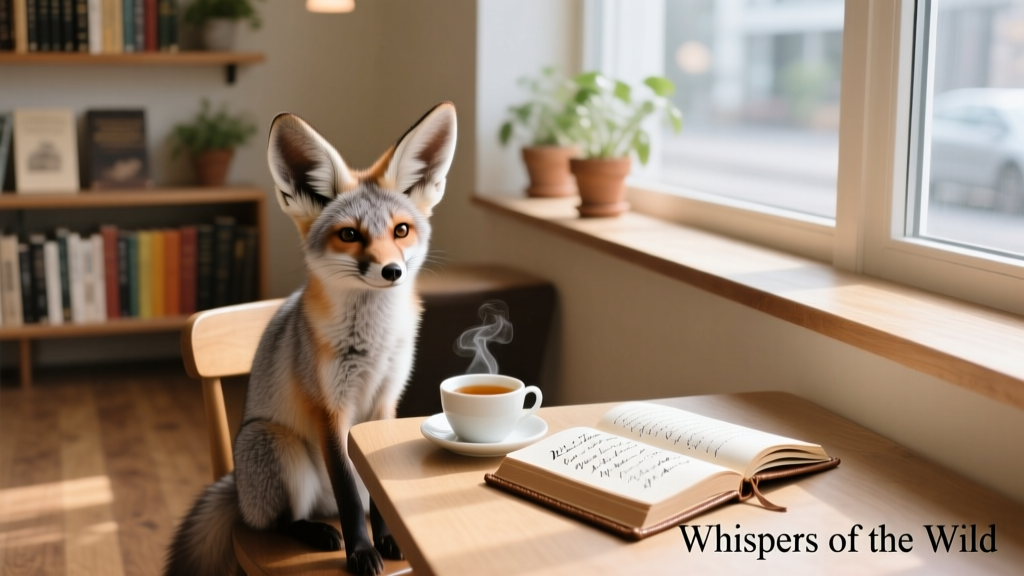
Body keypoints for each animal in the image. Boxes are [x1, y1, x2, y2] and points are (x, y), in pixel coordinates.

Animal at [164, 102, 458, 576]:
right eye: (350, 235)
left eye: (401, 231)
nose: (392, 271)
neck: (371, 343)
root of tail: (236, 486)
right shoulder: (329, 410)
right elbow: (352, 499)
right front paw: (361, 553)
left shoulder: (384, 403)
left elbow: (372, 495)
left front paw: (388, 538)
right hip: (276, 445)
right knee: (276, 521)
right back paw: (315, 532)